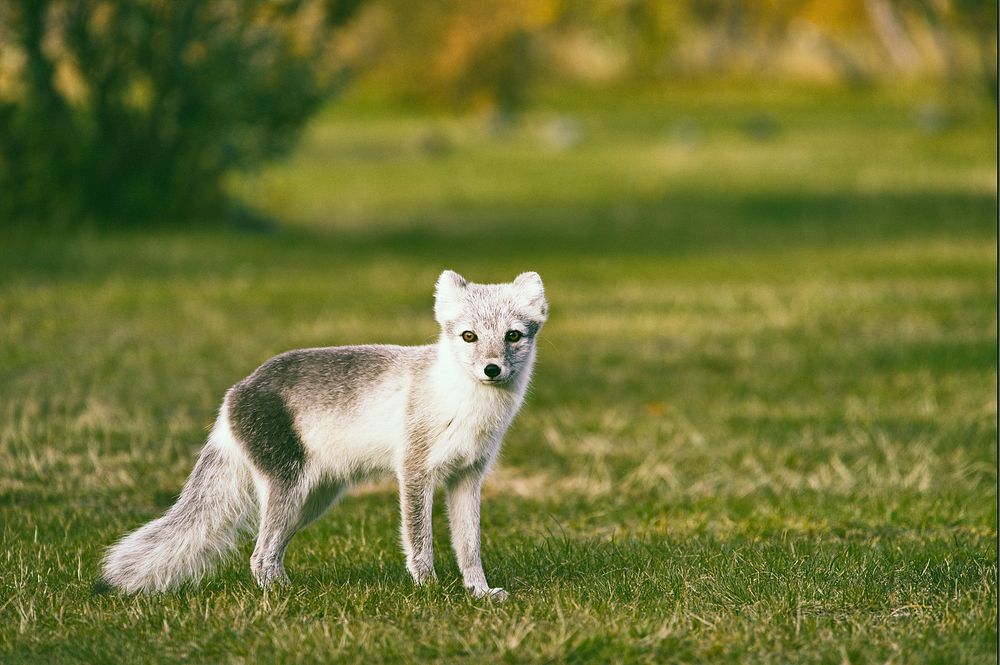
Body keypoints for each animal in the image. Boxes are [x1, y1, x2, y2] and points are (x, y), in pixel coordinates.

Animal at [100, 270, 547, 600]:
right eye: (469, 336)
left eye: (512, 336)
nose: (492, 369)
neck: (463, 402)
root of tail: (233, 395)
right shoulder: (415, 472)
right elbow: (420, 541)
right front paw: (430, 591)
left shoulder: (468, 477)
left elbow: (469, 546)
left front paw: (479, 593)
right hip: (289, 489)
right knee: (259, 555)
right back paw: (282, 596)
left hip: (313, 500)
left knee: (269, 551)